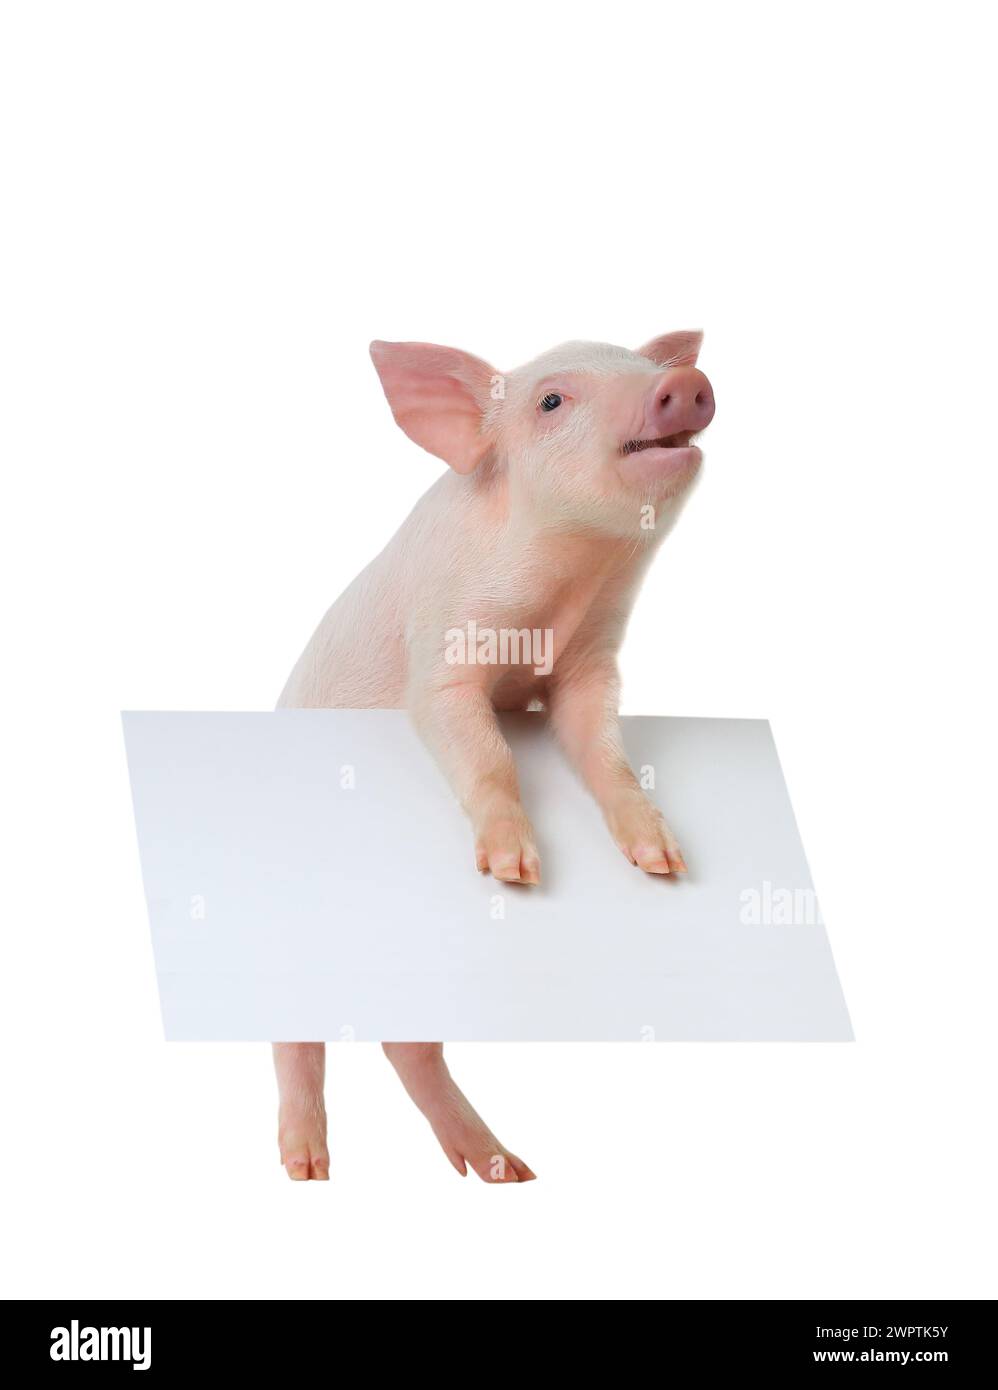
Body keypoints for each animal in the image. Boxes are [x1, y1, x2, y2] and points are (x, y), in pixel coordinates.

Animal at [273, 331, 715, 1182]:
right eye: (551, 400)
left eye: (650, 370)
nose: (685, 382)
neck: (569, 589)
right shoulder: (441, 656)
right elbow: (482, 750)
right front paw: (516, 872)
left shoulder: (591, 668)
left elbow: (605, 753)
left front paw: (664, 861)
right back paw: (308, 1169)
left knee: (408, 1047)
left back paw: (503, 1169)